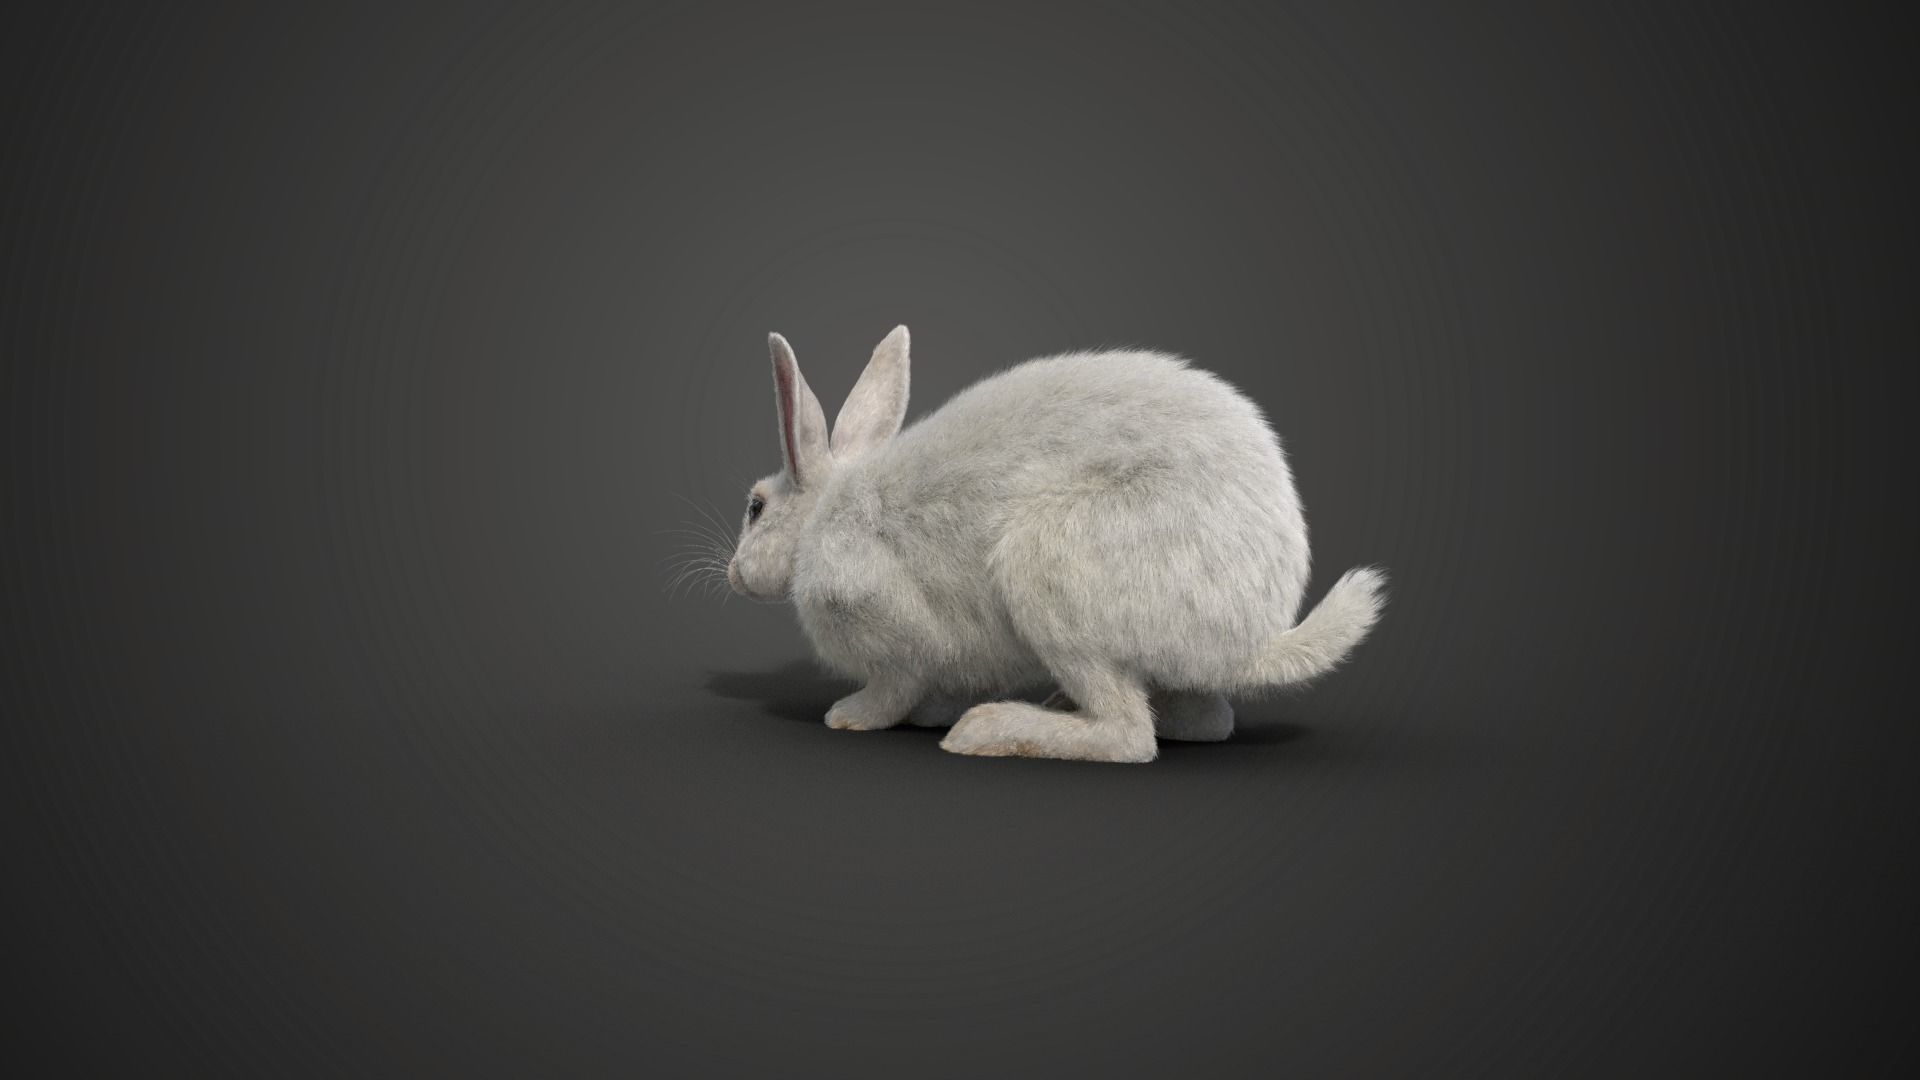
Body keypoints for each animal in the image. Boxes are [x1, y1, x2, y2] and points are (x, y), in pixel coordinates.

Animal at [723, 325, 1387, 763]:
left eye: (755, 507)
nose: (732, 574)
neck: (821, 514)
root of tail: (1251, 637)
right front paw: (925, 713)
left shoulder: (895, 631)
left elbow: (895, 687)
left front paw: (850, 717)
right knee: (1202, 720)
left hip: (1051, 575)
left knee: (1129, 735)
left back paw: (988, 731)